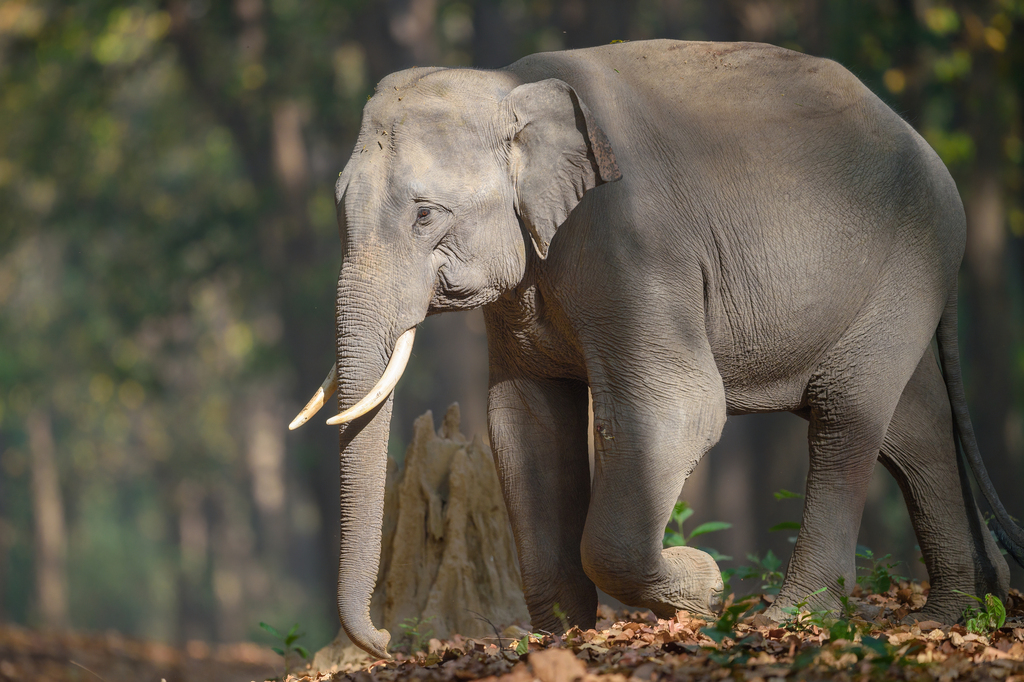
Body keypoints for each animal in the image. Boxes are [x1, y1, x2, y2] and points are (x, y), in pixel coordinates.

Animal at [288, 39, 1024, 659]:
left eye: (425, 216)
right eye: (339, 209)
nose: (389, 641)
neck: (511, 85)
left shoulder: (633, 242)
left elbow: (678, 408)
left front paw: (704, 585)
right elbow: (524, 423)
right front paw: (560, 641)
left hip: (905, 262)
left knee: (847, 415)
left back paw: (791, 619)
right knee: (914, 428)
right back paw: (949, 616)